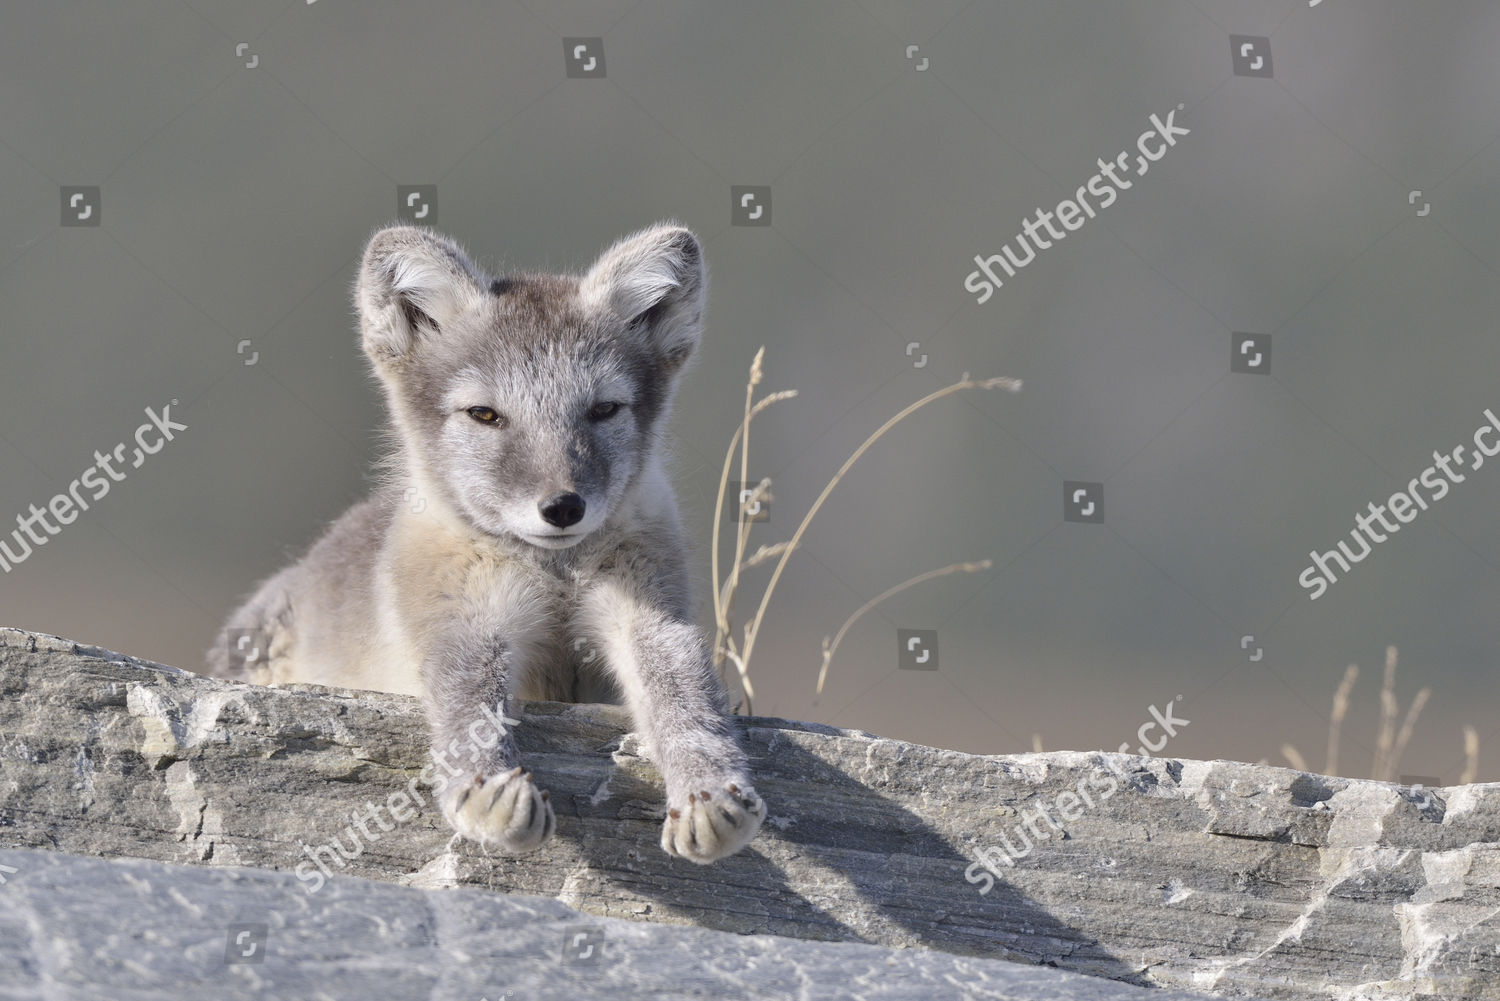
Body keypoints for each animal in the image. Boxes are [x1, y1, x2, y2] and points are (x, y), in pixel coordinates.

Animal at [208, 222, 765, 864]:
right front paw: (489, 790)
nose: (563, 507)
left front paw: (709, 794)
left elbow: (684, 693)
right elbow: (467, 698)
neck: (555, 573)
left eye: (603, 410)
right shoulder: (466, 618)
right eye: (484, 414)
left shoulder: (648, 607)